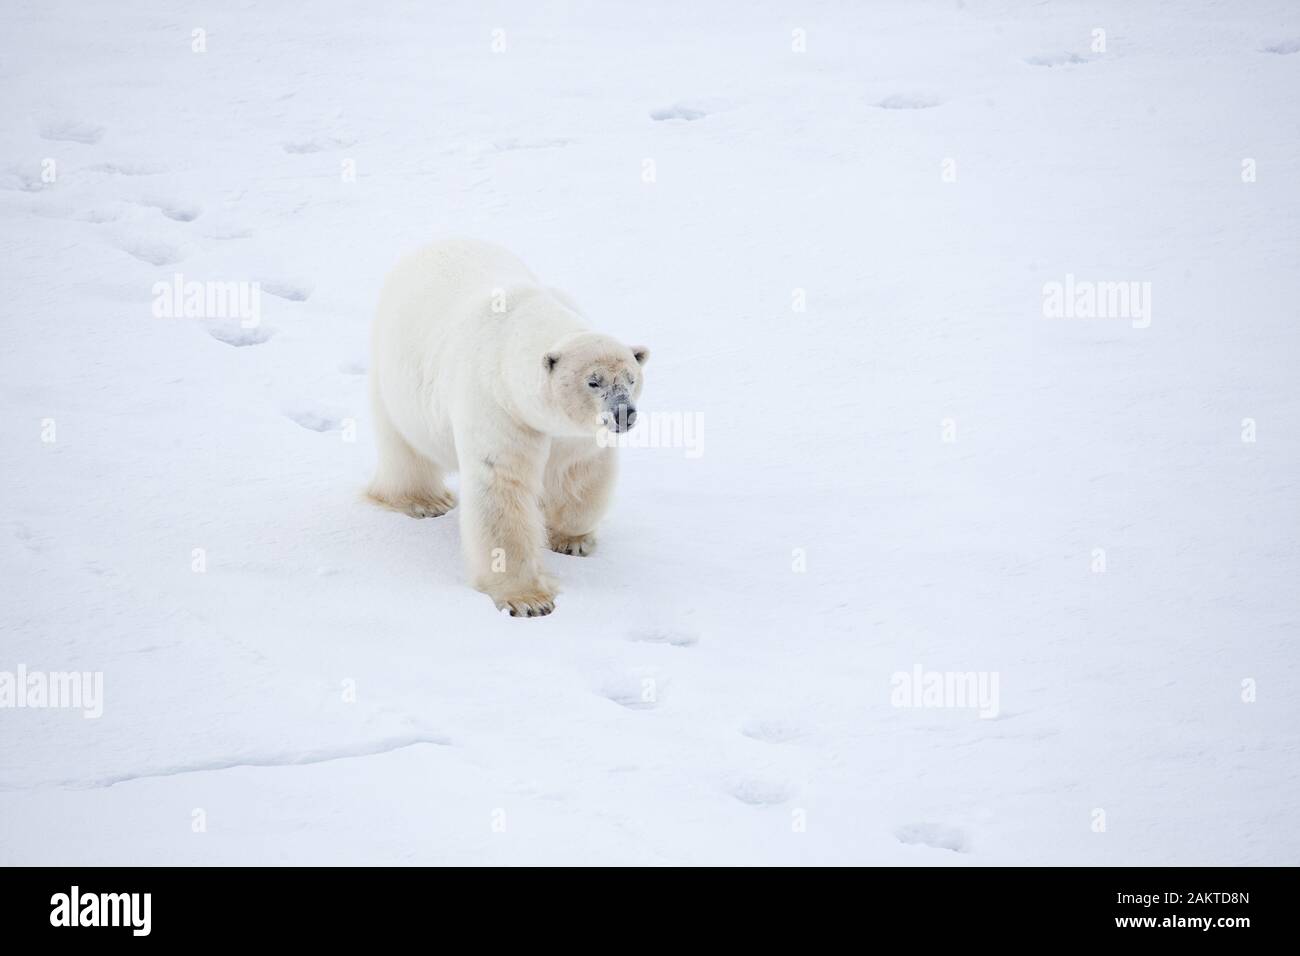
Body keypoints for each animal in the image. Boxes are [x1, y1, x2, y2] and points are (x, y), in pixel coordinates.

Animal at [367, 240, 648, 617]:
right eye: (593, 381)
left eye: (631, 379)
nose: (623, 414)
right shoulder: (498, 406)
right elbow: (501, 487)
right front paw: (528, 600)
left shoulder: (573, 433)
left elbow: (578, 470)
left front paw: (572, 540)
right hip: (394, 373)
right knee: (403, 445)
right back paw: (423, 501)